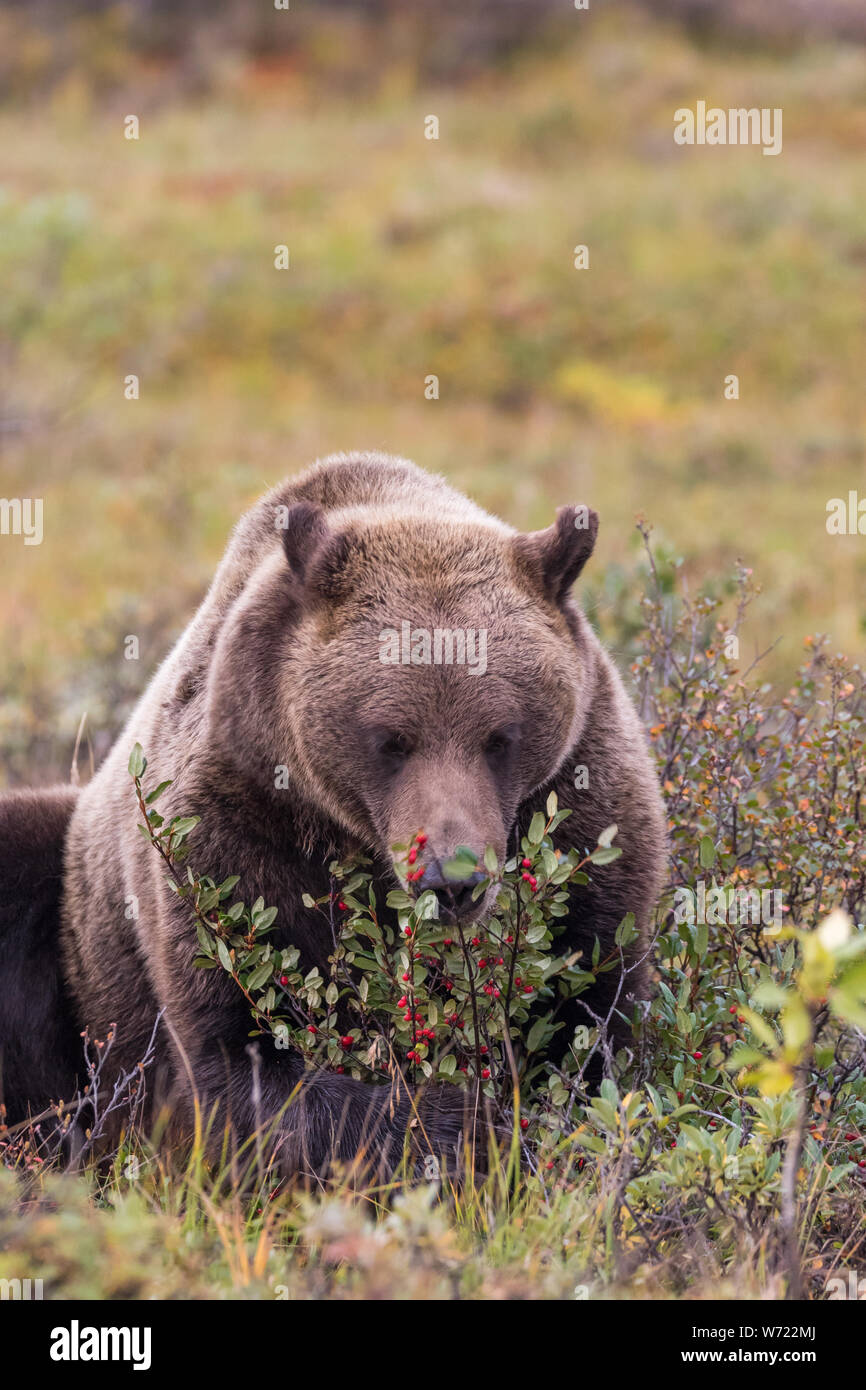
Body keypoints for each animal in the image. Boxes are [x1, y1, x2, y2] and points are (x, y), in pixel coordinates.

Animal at [2, 452, 666, 1176]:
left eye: (501, 736)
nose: (451, 880)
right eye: (390, 739)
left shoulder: (586, 819)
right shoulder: (229, 841)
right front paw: (459, 1124)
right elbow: (242, 1063)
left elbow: (589, 1016)